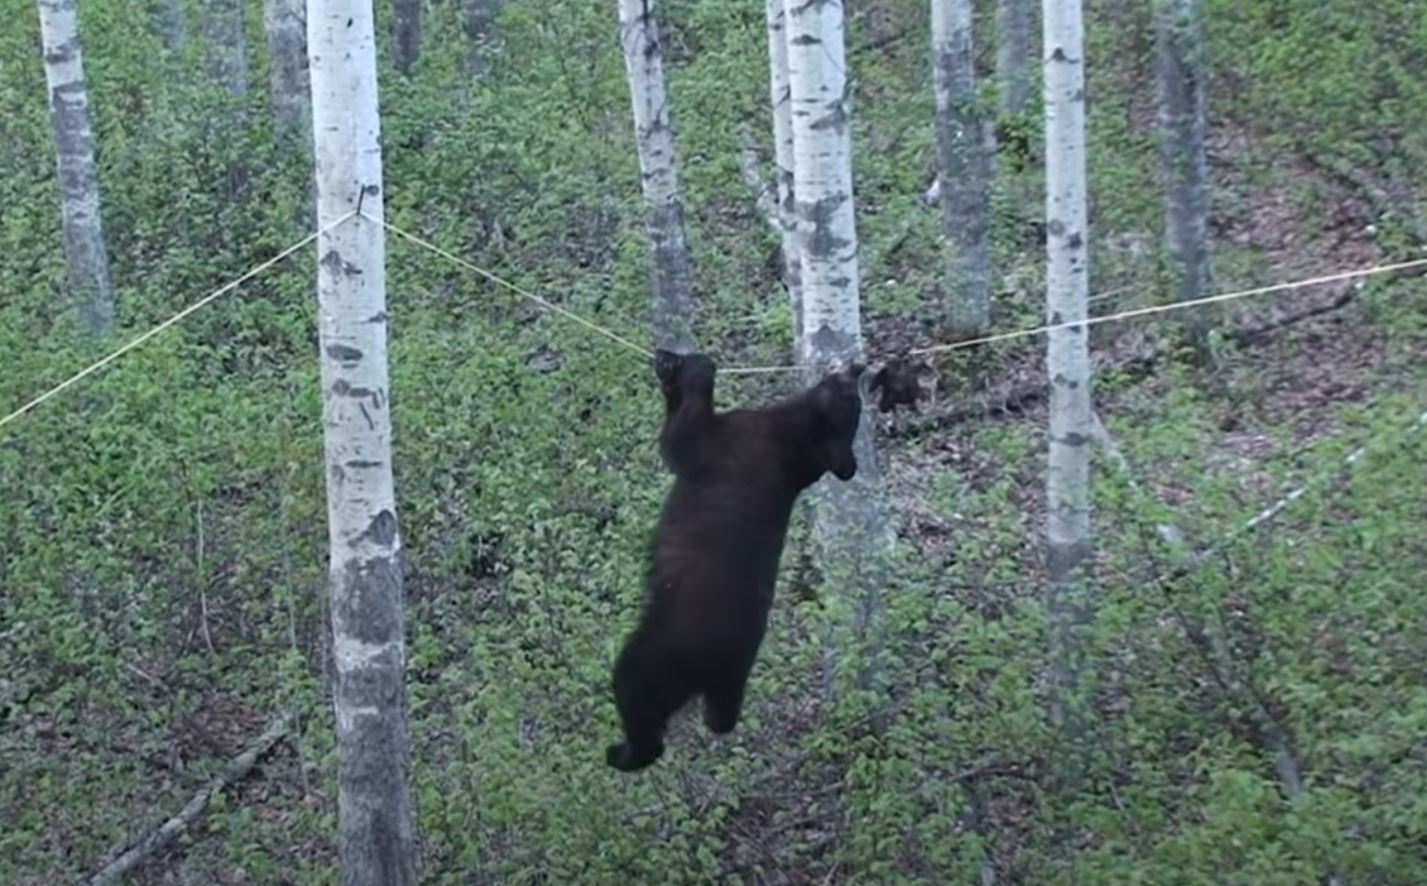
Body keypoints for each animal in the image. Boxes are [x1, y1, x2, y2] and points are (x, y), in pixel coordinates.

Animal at [605, 348, 866, 772]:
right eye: (853, 394)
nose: (857, 368)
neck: (797, 442)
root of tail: (719, 667)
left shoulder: (730, 441)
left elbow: (681, 437)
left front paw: (693, 366)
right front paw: (669, 369)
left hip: (658, 652)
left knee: (636, 695)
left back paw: (623, 752)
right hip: (728, 683)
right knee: (720, 717)